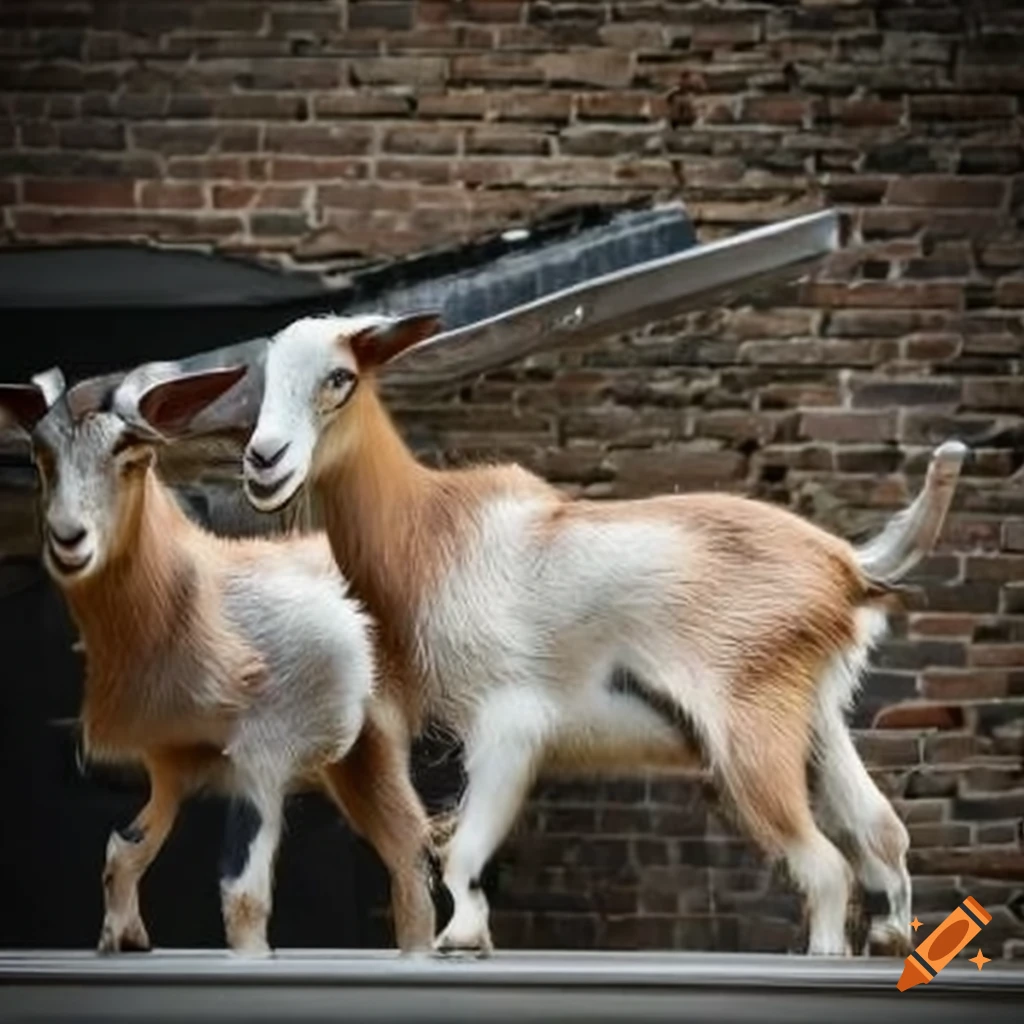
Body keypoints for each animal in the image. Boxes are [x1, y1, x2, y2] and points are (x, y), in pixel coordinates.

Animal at [0, 366, 436, 955]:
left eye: (132, 455)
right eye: (40, 455)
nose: (70, 539)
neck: (193, 597)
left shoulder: (262, 757)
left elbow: (242, 896)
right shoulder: (167, 764)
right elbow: (123, 853)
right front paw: (123, 939)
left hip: (372, 738)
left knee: (410, 853)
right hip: (357, 753)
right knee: (408, 851)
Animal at [137, 312, 963, 958]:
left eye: (340, 377)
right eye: (261, 382)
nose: (264, 461)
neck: (433, 530)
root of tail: (847, 563)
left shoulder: (509, 721)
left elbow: (463, 846)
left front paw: (463, 939)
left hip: (750, 740)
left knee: (825, 867)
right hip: (817, 725)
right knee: (882, 837)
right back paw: (893, 938)